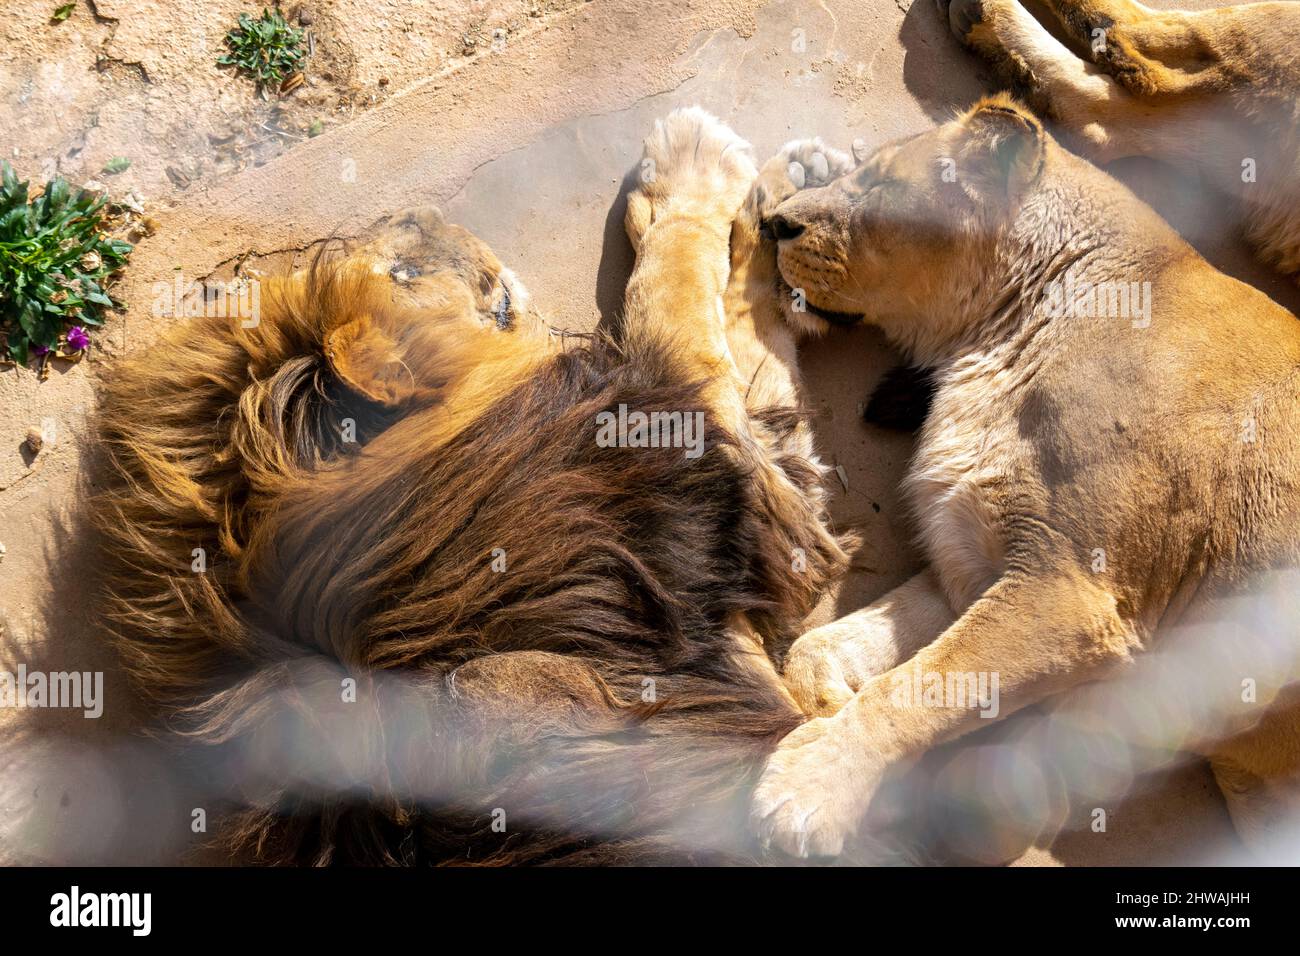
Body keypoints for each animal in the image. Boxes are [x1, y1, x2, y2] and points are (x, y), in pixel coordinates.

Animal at [92, 109, 854, 865]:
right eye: (401, 272)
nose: (411, 207)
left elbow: (746, 343)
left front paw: (796, 207)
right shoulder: (721, 496)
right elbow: (676, 302)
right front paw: (697, 165)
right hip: (488, 700)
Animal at [749, 92, 1300, 860]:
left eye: (880, 186)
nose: (773, 222)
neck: (996, 334)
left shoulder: (1067, 588)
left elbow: (923, 687)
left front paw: (811, 788)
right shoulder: (975, 561)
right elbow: (826, 648)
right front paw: (827, 712)